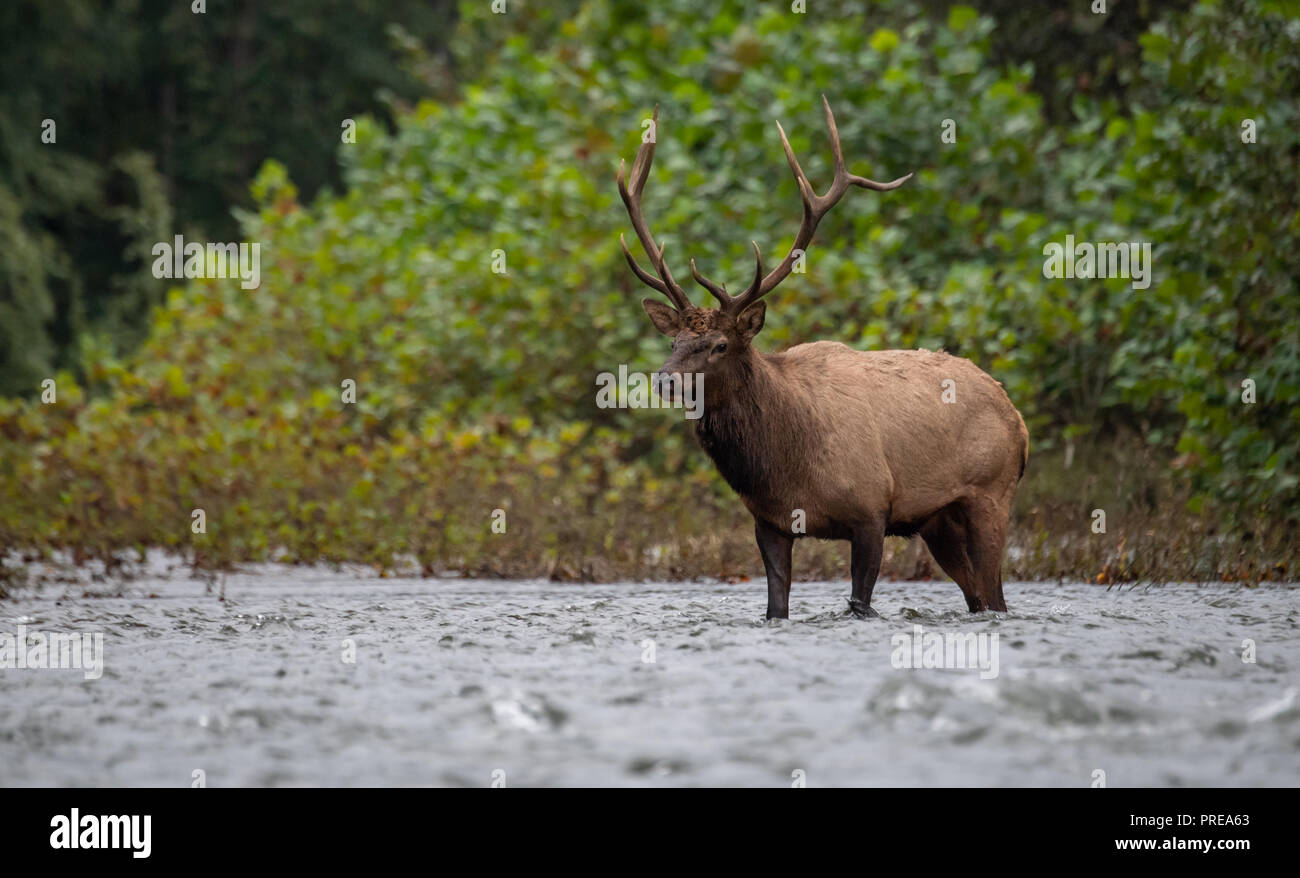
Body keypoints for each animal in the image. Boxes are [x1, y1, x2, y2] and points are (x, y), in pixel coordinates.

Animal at [616, 97, 1029, 620]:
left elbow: (859, 601)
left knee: (995, 595)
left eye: (720, 345)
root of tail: (1017, 418)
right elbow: (776, 604)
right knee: (977, 595)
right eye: (674, 344)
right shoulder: (769, 522)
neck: (785, 465)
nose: (664, 380)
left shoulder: (872, 509)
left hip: (991, 493)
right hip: (938, 521)